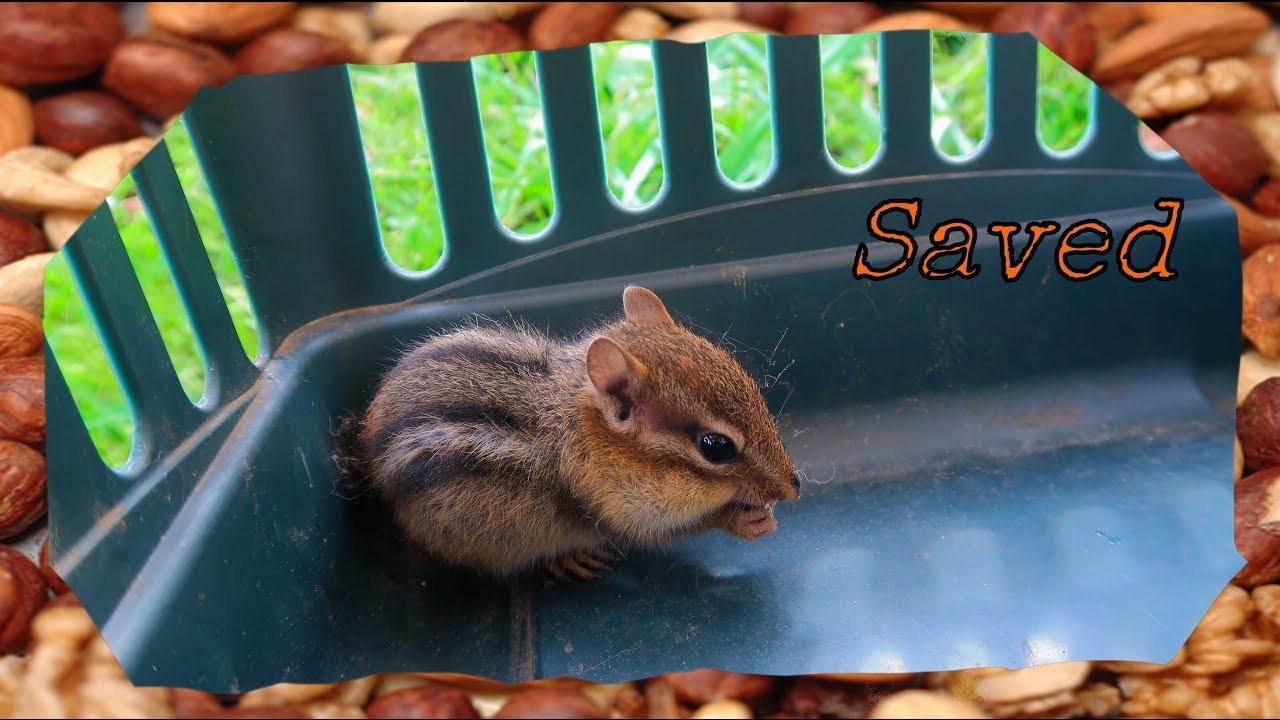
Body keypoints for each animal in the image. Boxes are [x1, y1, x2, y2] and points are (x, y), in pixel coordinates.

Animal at [335, 286, 801, 581]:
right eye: (715, 446)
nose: (793, 487)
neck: (583, 431)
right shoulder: (619, 508)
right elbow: (660, 532)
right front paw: (745, 519)